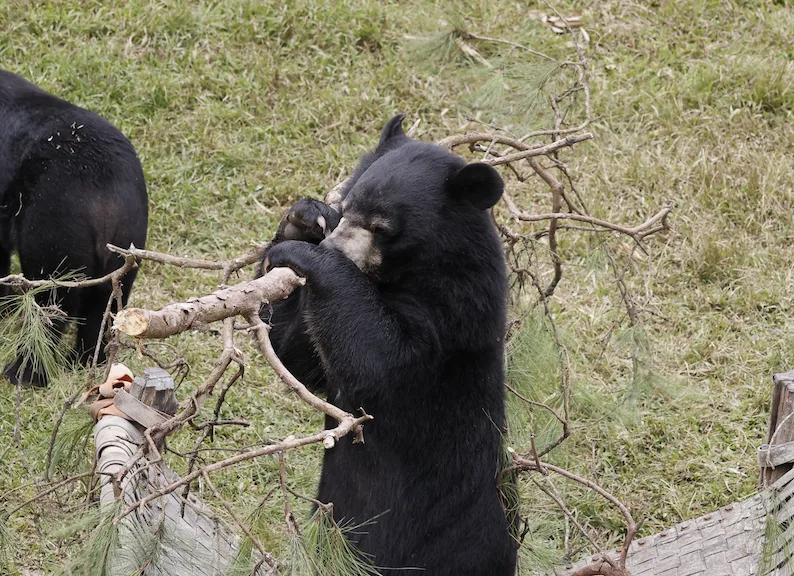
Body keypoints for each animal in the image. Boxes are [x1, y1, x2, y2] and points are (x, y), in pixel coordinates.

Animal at [0, 69, 148, 386]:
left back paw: (24, 371)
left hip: (52, 225)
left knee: (53, 299)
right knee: (105, 305)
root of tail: (107, 200)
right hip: (128, 244)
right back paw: (85, 362)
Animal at [260, 115, 517, 575]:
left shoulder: (454, 309)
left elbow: (380, 359)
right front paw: (304, 219)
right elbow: (299, 356)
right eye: (346, 209)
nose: (335, 245)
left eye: (381, 227)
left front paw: (311, 257)